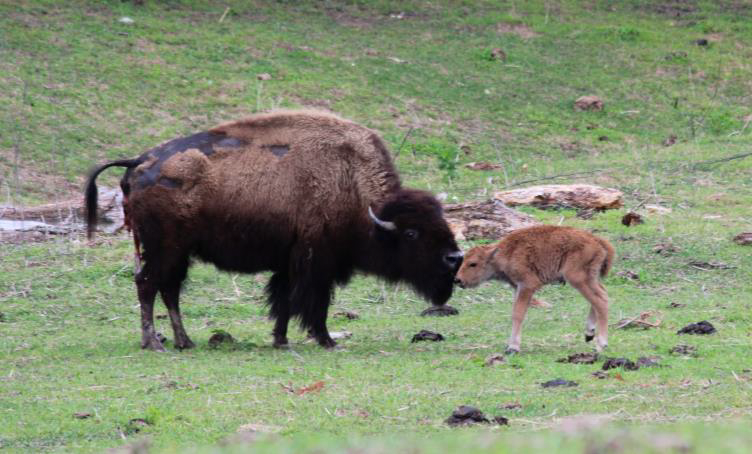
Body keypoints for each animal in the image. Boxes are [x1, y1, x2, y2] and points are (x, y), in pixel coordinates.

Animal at [85, 110, 462, 350]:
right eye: (412, 234)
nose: (455, 257)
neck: (352, 185)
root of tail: (140, 161)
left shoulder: (290, 263)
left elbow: (283, 301)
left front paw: (280, 340)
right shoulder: (315, 263)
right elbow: (313, 304)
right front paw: (326, 340)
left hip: (177, 253)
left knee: (169, 290)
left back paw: (184, 341)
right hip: (164, 248)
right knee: (148, 285)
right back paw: (154, 343)